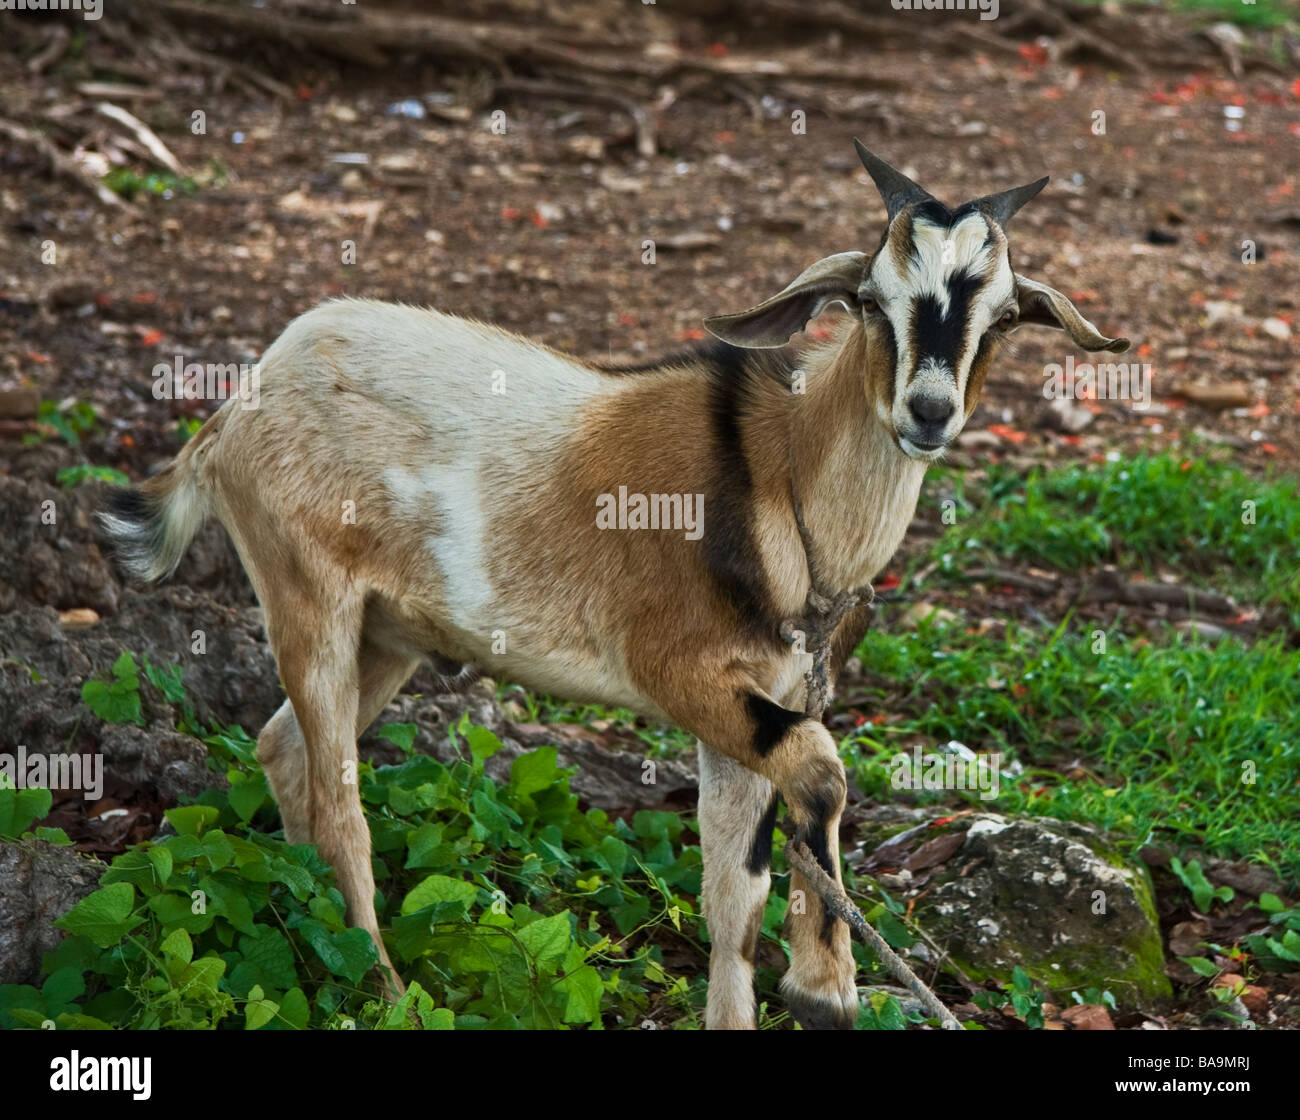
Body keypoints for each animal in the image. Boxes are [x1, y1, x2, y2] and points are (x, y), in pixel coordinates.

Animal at [100, 142, 1128, 1030]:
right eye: (871, 300)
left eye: (1004, 317)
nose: (928, 411)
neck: (781, 470)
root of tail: (238, 404)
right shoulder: (679, 670)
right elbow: (822, 770)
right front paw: (827, 986)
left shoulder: (761, 696)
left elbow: (734, 896)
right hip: (307, 591)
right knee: (340, 799)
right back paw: (384, 989)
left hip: (388, 632)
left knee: (283, 754)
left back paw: (320, 935)